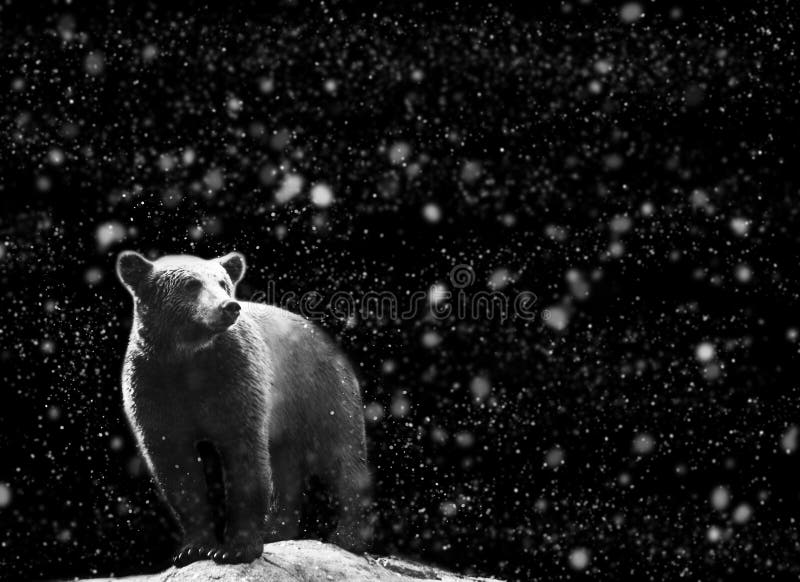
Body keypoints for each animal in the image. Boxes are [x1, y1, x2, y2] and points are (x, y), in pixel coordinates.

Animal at [115, 250, 371, 567]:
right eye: (190, 284)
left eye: (223, 283)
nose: (229, 306)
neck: (188, 360)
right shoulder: (152, 385)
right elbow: (176, 465)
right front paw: (193, 548)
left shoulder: (237, 378)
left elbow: (244, 456)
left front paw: (236, 548)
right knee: (286, 467)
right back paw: (278, 529)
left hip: (319, 391)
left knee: (342, 455)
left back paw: (348, 537)